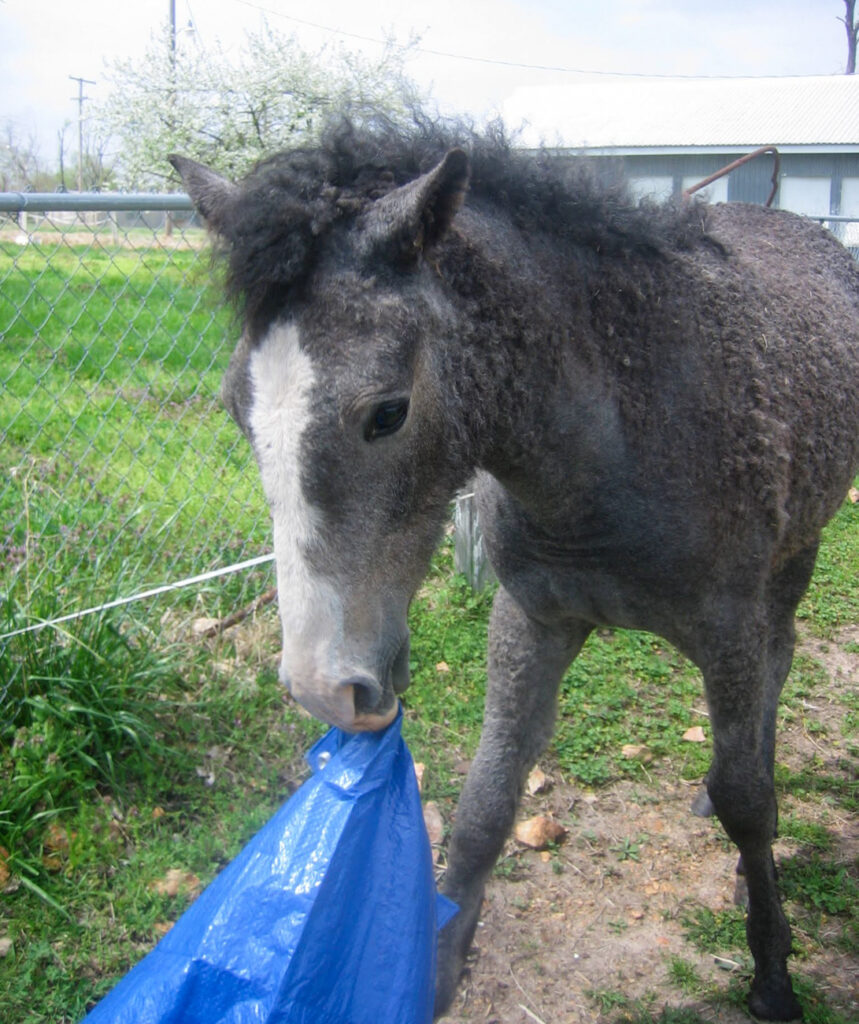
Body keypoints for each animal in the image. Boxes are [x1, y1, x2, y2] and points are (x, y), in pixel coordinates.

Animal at [171, 120, 859, 1021]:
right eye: (233, 406)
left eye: (386, 412)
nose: (325, 690)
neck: (623, 427)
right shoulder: (532, 618)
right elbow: (486, 799)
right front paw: (435, 972)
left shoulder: (728, 629)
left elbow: (746, 801)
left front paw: (773, 971)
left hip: (794, 555)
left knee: (780, 663)